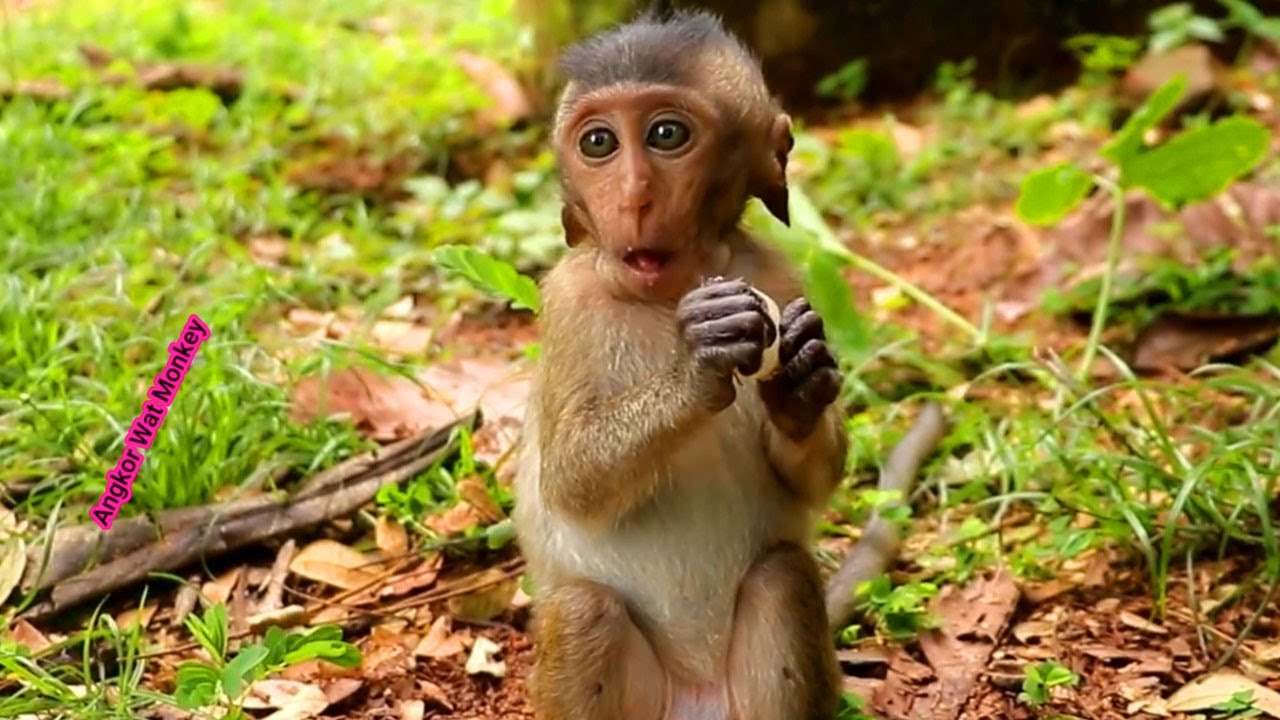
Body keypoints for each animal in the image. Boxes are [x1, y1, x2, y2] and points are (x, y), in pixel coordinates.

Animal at [512, 10, 945, 720]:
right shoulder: (569, 302)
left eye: (666, 135)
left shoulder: (777, 272)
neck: (668, 293)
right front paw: (699, 365)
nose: (632, 198)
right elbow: (572, 481)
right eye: (599, 144)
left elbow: (815, 480)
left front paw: (800, 387)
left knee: (783, 576)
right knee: (584, 609)